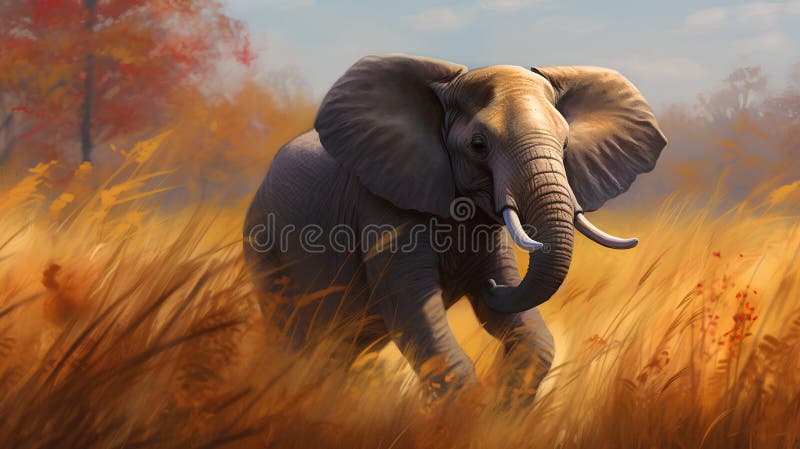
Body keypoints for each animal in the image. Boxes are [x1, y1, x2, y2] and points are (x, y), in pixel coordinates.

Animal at [243, 54, 667, 402]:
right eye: (479, 145)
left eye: (565, 145)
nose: (493, 287)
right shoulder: (381, 206)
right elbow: (412, 308)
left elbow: (529, 337)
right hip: (265, 251)